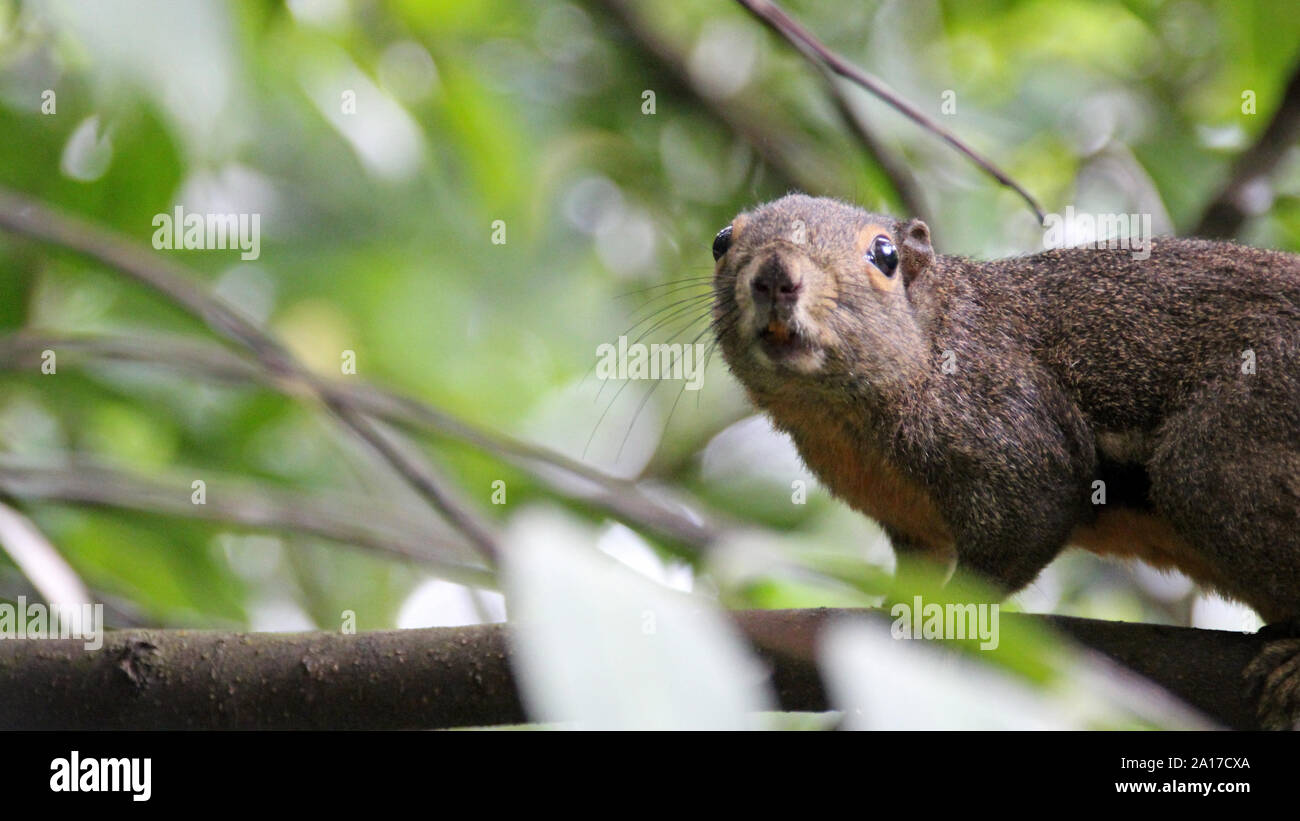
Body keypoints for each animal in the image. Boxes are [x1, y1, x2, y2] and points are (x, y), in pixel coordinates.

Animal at [710, 193, 1300, 729]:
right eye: (721, 241)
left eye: (884, 254)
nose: (775, 275)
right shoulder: (906, 518)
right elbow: (917, 566)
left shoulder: (1009, 423)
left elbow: (1027, 522)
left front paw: (948, 619)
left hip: (1229, 449)